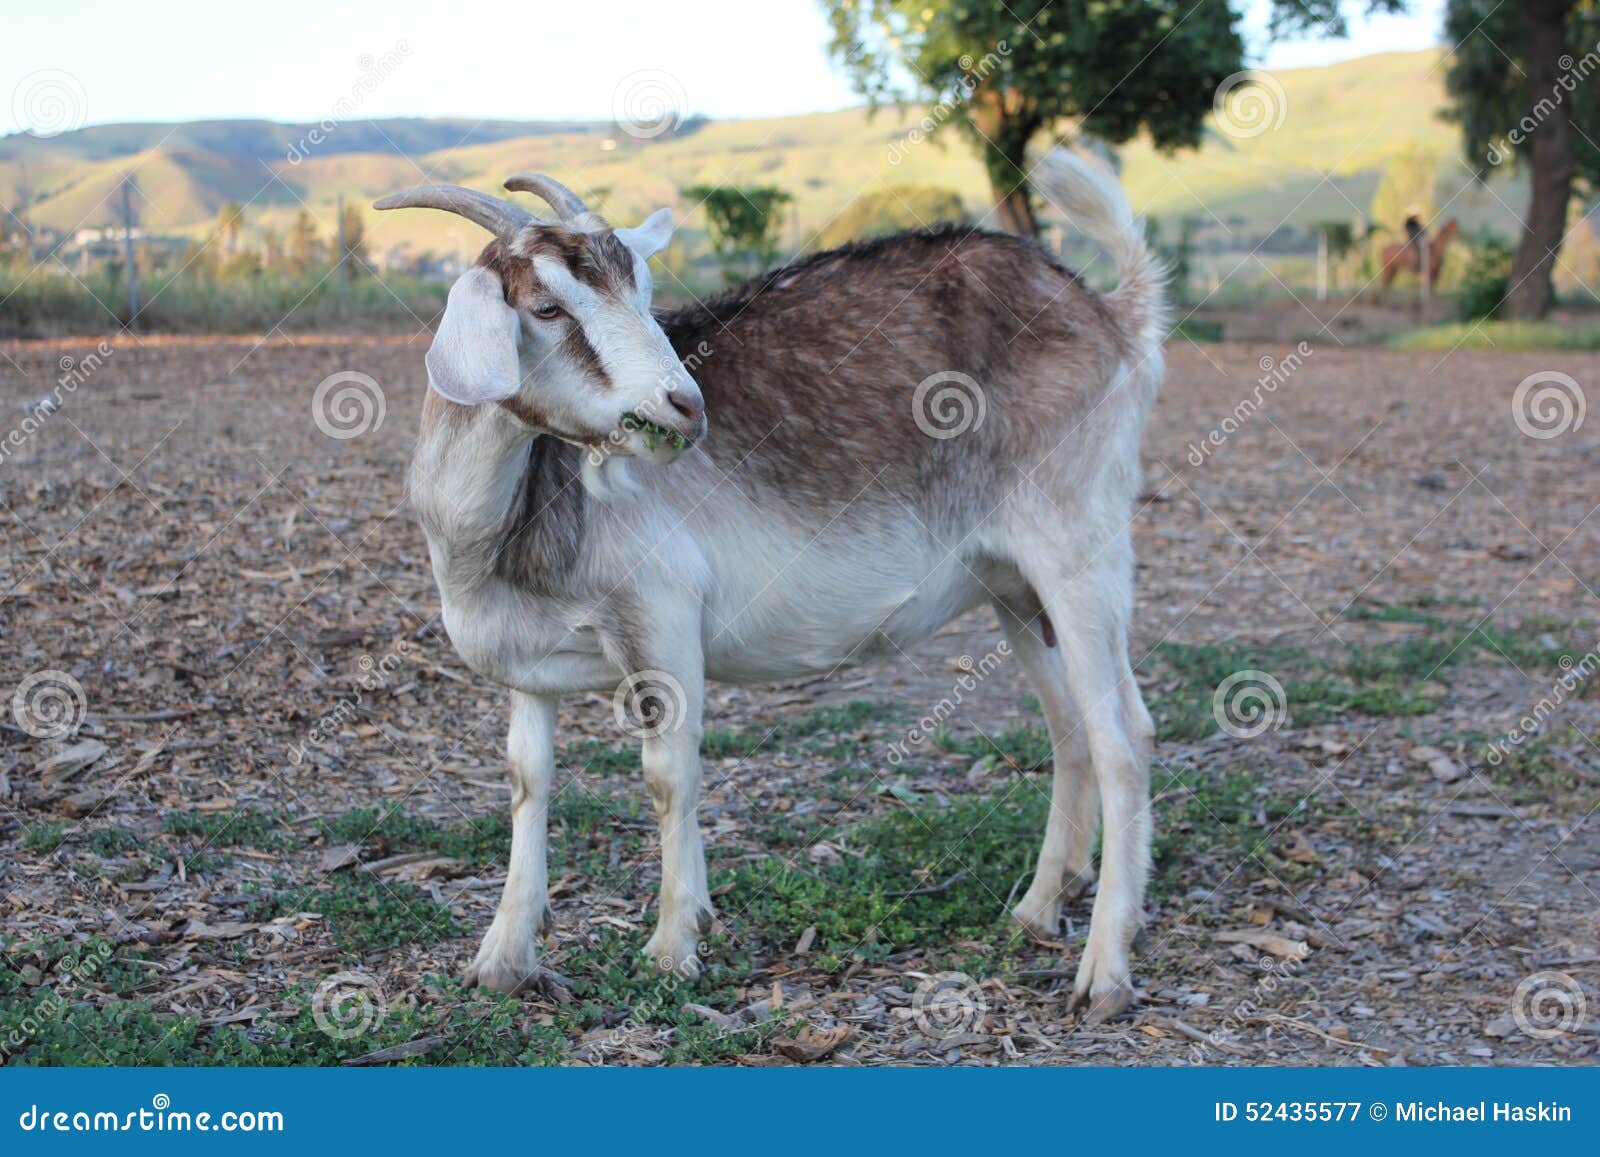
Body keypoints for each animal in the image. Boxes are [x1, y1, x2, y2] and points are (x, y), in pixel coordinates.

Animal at [373, 151, 1165, 1023]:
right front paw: (503, 956)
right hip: (1014, 587)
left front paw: (673, 945)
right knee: (1069, 728)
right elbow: (526, 778)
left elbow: (667, 773)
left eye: (641, 291)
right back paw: (1039, 905)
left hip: (1077, 545)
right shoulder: (528, 659)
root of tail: (1110, 312)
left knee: (1123, 735)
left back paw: (1106, 966)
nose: (684, 406)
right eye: (546, 307)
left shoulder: (661, 617)